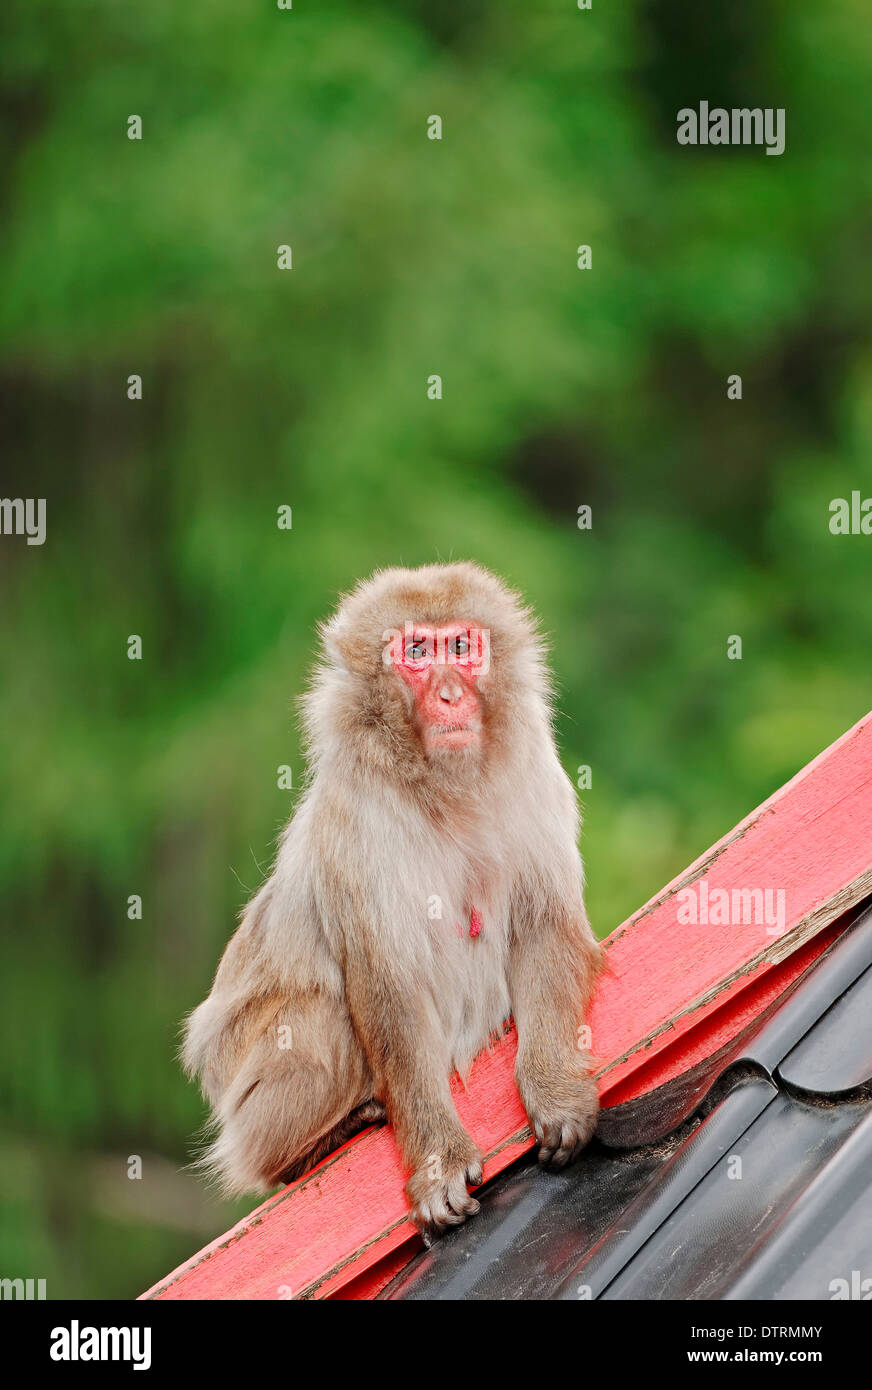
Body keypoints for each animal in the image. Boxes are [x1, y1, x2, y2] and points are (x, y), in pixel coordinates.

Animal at [182, 562, 602, 1237]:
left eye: (460, 646)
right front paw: (438, 1162)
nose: (450, 693)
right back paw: (316, 1144)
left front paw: (555, 1090)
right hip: (249, 1099)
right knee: (317, 1018)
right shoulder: (359, 821)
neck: (443, 790)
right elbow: (389, 991)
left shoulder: (534, 773)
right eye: (417, 653)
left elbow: (546, 928)